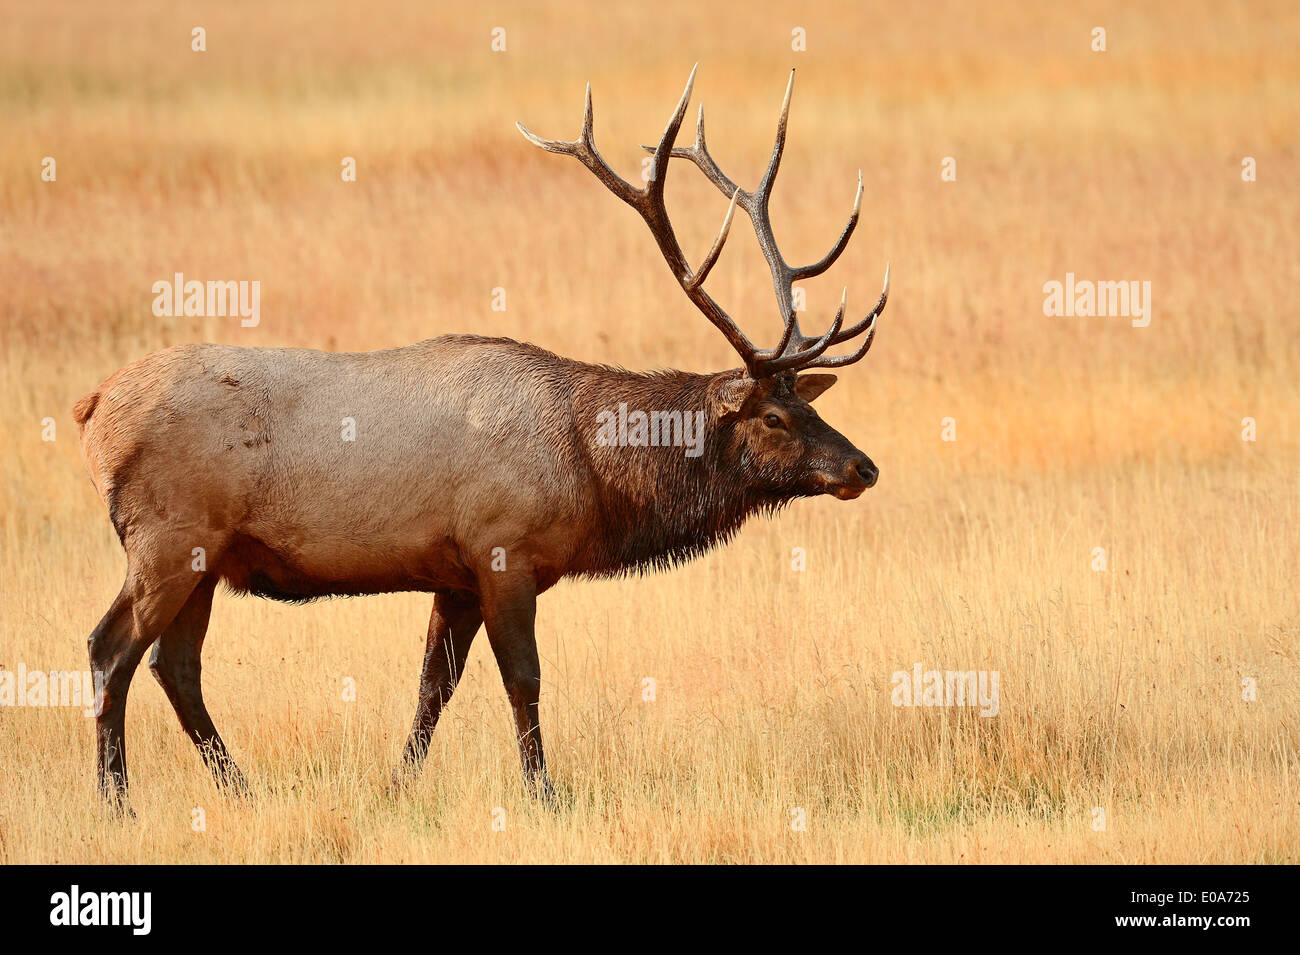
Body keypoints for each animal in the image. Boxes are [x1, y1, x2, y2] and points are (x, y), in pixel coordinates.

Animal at [73, 66, 889, 812]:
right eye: (773, 416)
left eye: (805, 404)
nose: (863, 466)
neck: (592, 473)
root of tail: (92, 406)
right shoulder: (504, 549)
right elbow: (523, 678)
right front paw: (545, 793)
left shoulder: (455, 574)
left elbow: (433, 685)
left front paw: (397, 786)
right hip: (168, 534)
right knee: (111, 647)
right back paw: (118, 800)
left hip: (207, 557)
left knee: (176, 666)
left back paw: (242, 789)